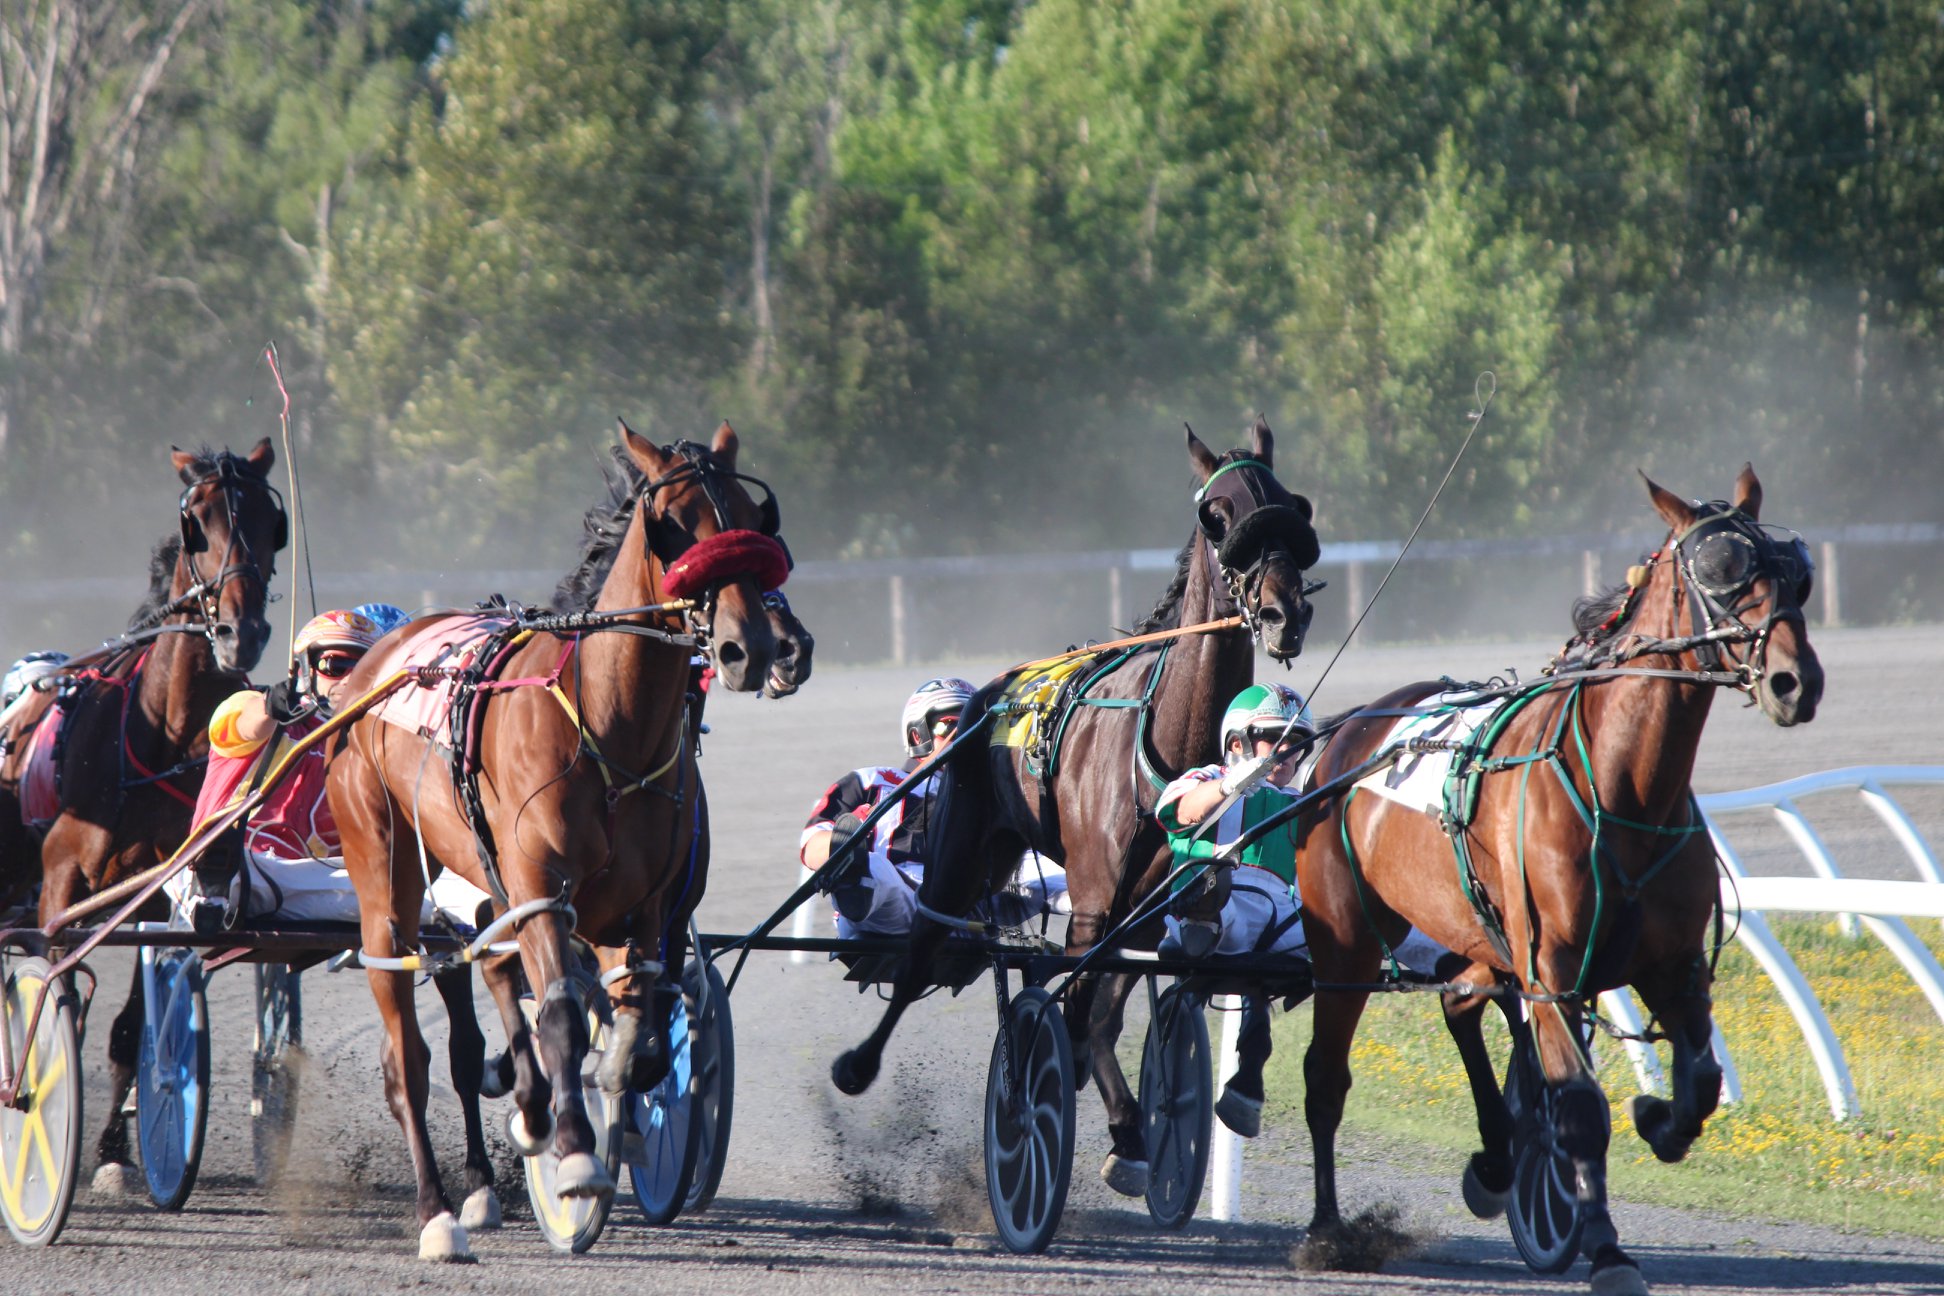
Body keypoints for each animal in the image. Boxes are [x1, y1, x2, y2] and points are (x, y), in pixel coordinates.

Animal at [327, 421, 789, 1260]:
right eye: (673, 525)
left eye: (748, 519)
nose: (751, 647)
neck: (609, 728)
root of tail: (372, 669)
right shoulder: (543, 892)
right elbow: (564, 1021)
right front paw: (574, 1160)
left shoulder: (646, 910)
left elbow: (640, 1034)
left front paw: (600, 1118)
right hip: (382, 866)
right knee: (406, 1052)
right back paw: (439, 1213)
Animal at [829, 420, 1320, 1194]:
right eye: (1219, 517)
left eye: (1291, 507)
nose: (1283, 612)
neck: (1166, 741)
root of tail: (991, 692)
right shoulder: (1093, 902)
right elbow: (1082, 1006)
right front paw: (1067, 1111)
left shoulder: (1147, 908)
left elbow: (1108, 1010)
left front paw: (1142, 1127)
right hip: (965, 844)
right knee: (921, 952)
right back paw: (861, 1063)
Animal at [1293, 465, 1823, 1296]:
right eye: (1722, 569)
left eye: (1797, 571)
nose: (1794, 681)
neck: (1621, 787)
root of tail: (1349, 733)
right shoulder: (1554, 975)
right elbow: (1577, 1109)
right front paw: (1606, 1249)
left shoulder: (1673, 967)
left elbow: (1700, 1083)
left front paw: (1654, 1119)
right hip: (1345, 944)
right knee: (1325, 1076)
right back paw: (1326, 1228)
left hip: (1481, 933)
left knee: (1459, 997)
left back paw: (1496, 1157)